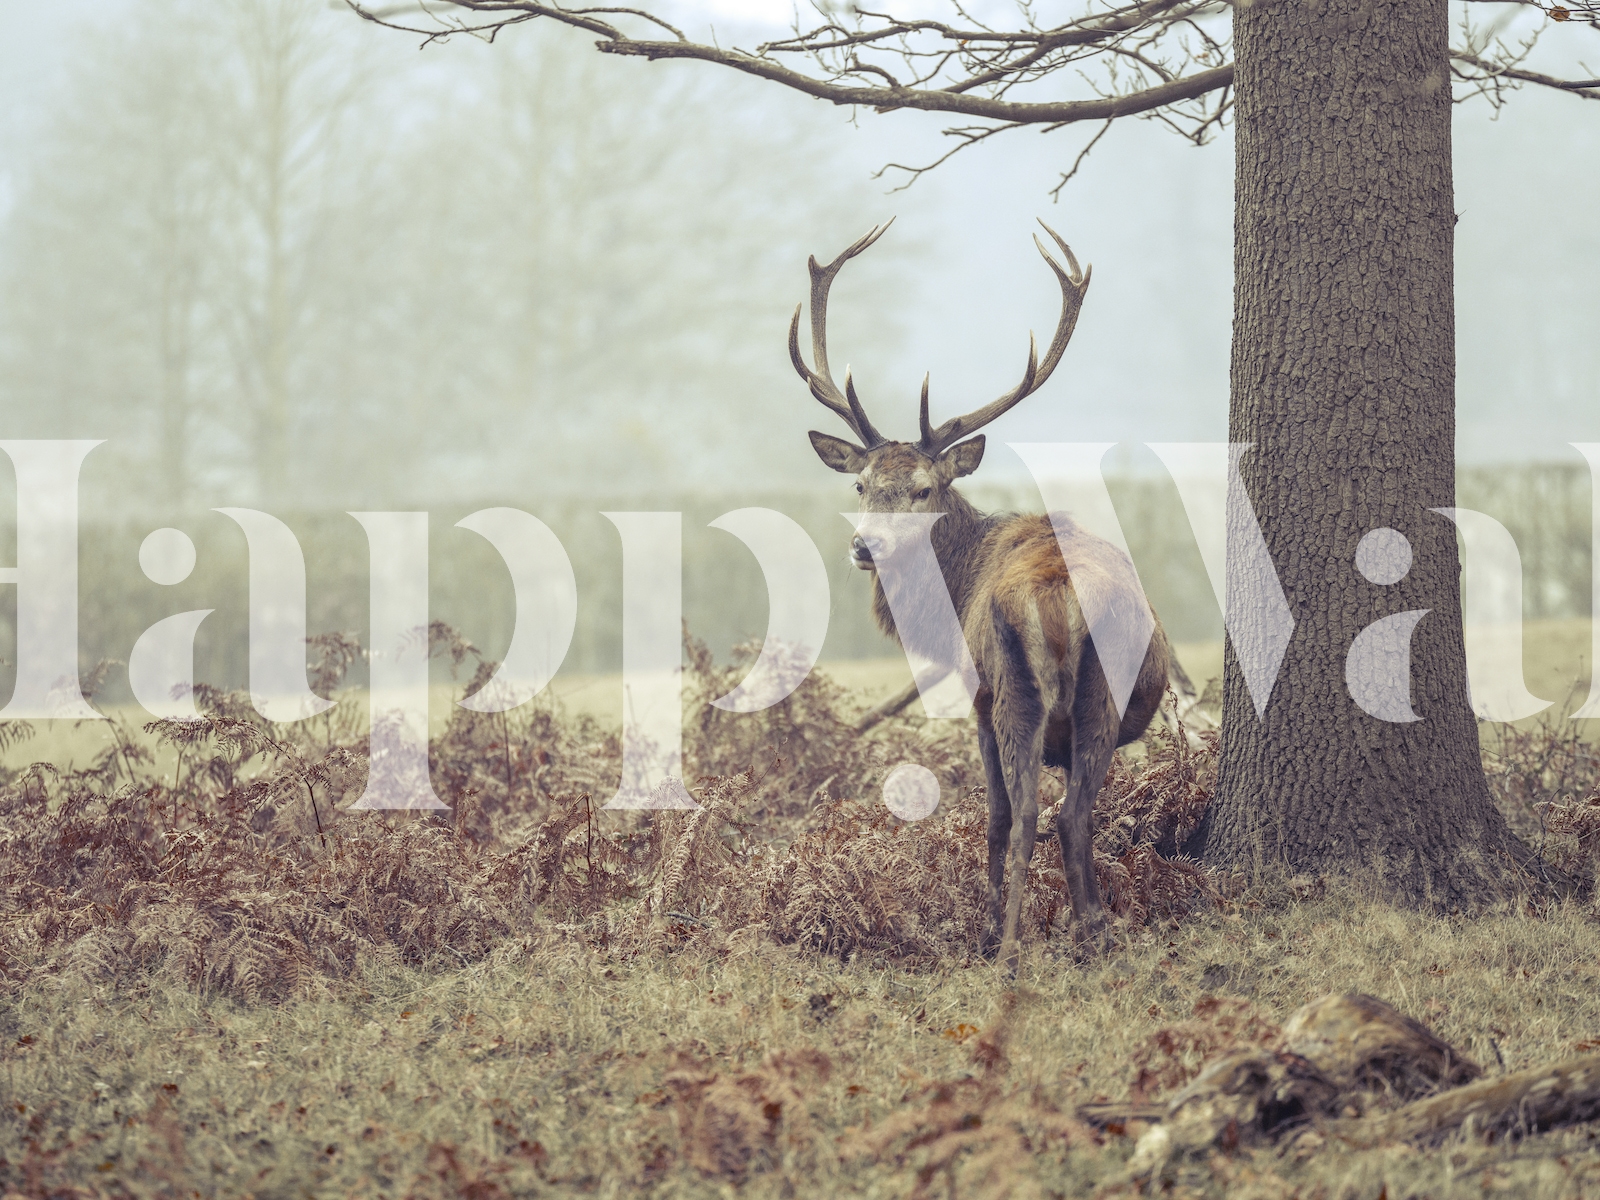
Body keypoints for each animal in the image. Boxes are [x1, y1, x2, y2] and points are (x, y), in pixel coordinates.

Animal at [793, 220, 1173, 973]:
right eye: (860, 485)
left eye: (923, 490)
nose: (864, 547)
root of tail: (1058, 597)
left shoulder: (973, 697)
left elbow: (993, 816)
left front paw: (987, 920)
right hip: (1097, 696)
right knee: (1074, 814)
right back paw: (1093, 932)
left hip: (1012, 690)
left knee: (1027, 814)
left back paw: (1008, 947)